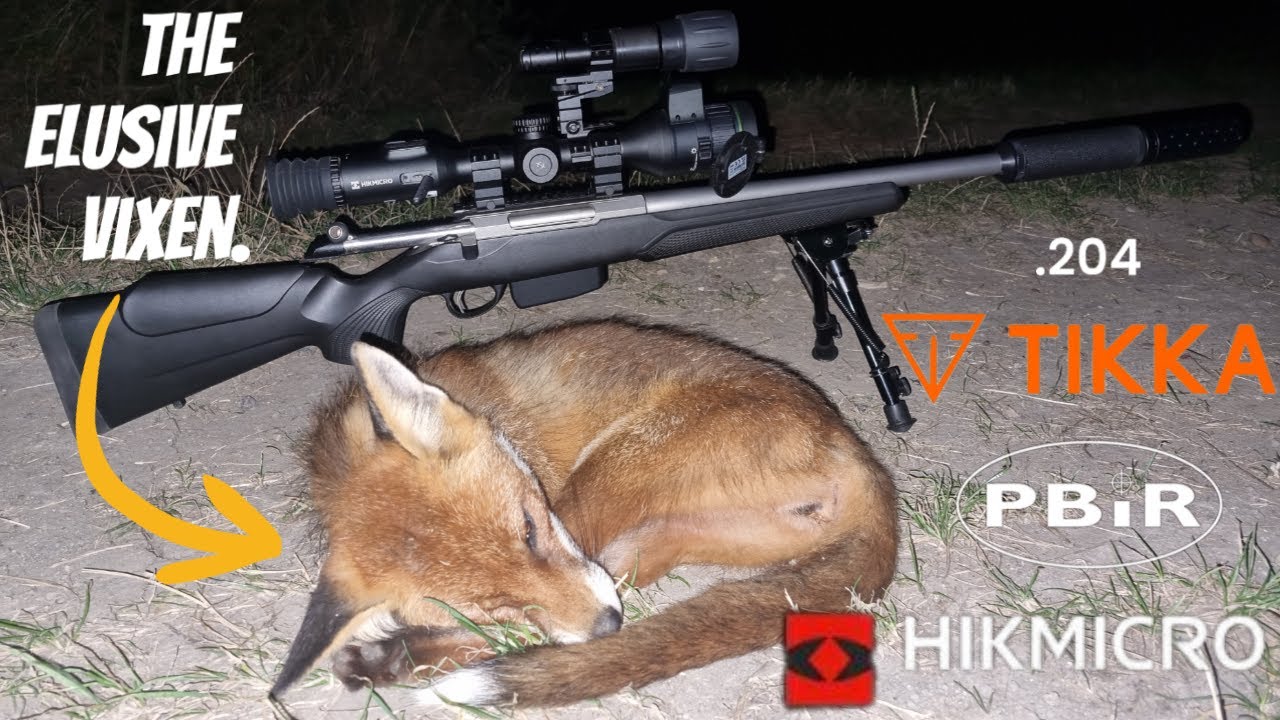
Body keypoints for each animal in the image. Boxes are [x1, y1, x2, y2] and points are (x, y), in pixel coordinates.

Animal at [268, 318, 899, 709]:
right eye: (495, 601)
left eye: (530, 529)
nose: (608, 627)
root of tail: (859, 453)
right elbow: (519, 624)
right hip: (667, 539)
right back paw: (394, 658)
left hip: (605, 476)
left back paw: (396, 658)